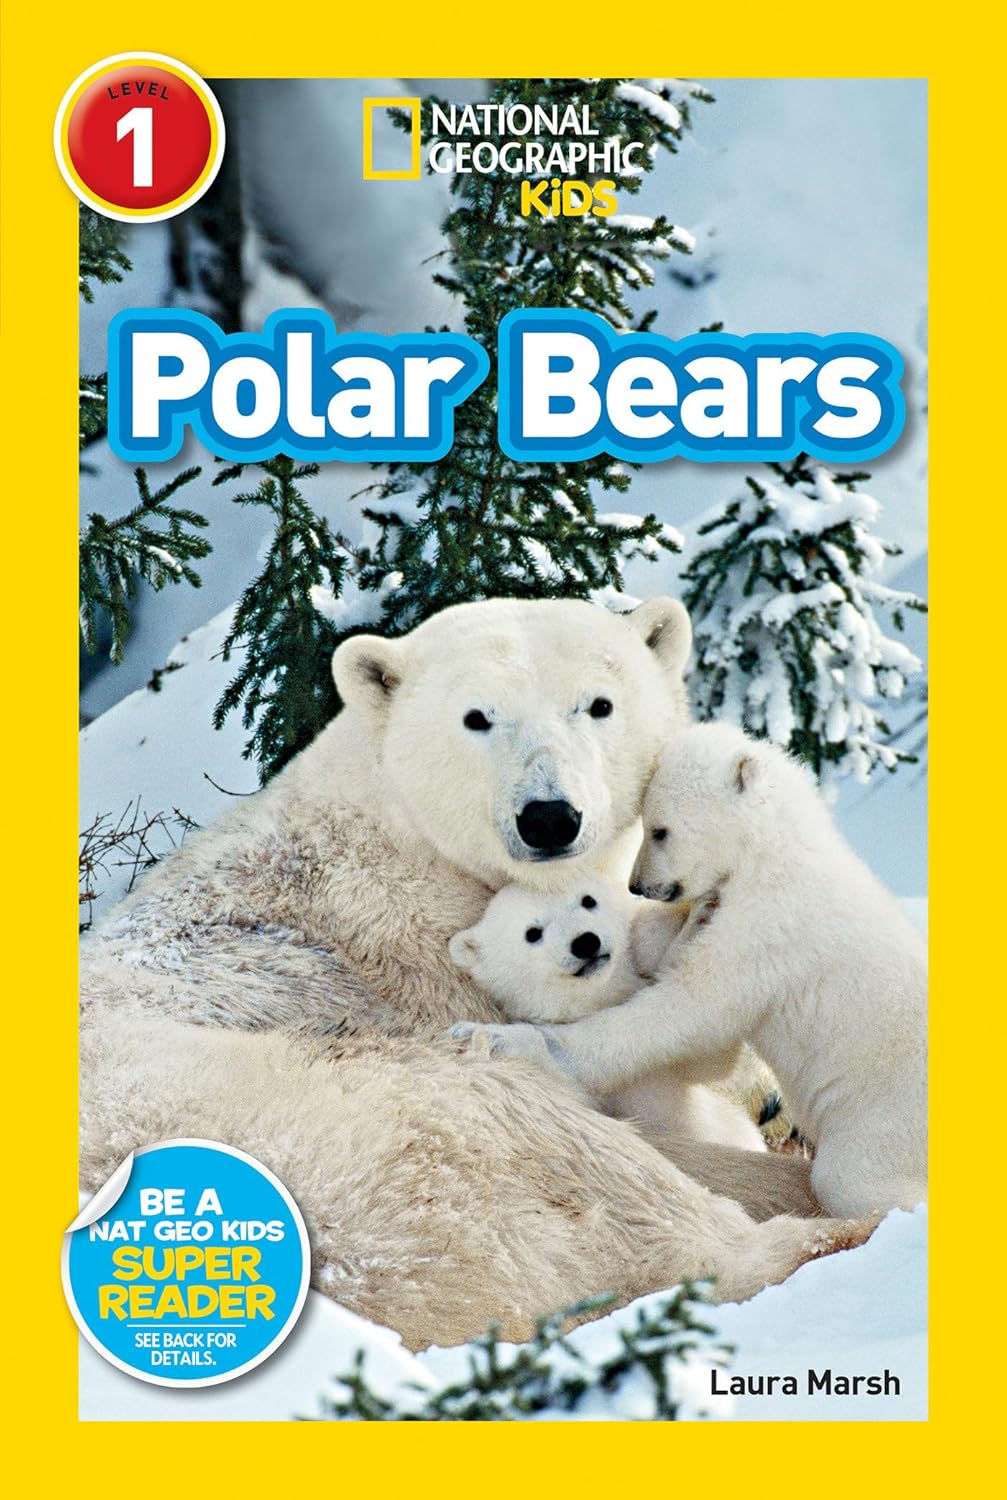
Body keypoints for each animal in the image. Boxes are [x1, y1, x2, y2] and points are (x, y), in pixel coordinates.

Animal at [448, 875, 768, 1154]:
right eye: (533, 933)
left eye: (588, 900)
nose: (585, 942)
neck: (596, 1000)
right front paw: (485, 1035)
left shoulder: (671, 1072)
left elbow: (709, 1060)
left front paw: (698, 919)